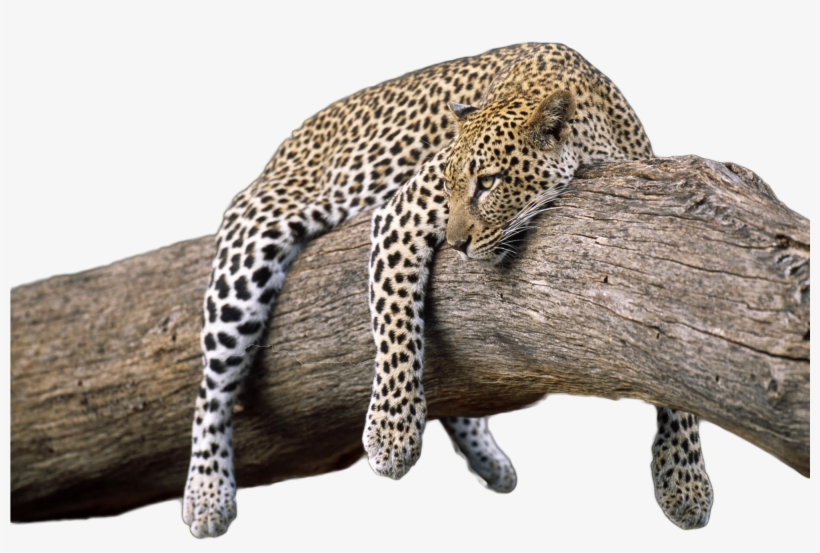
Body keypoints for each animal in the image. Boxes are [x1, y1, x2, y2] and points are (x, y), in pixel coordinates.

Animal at [183, 43, 713, 538]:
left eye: (489, 182)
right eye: (448, 184)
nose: (456, 244)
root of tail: (284, 145)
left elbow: (676, 368)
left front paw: (684, 481)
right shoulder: (400, 214)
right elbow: (397, 322)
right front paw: (391, 434)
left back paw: (490, 461)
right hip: (249, 251)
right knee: (212, 387)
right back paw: (207, 495)